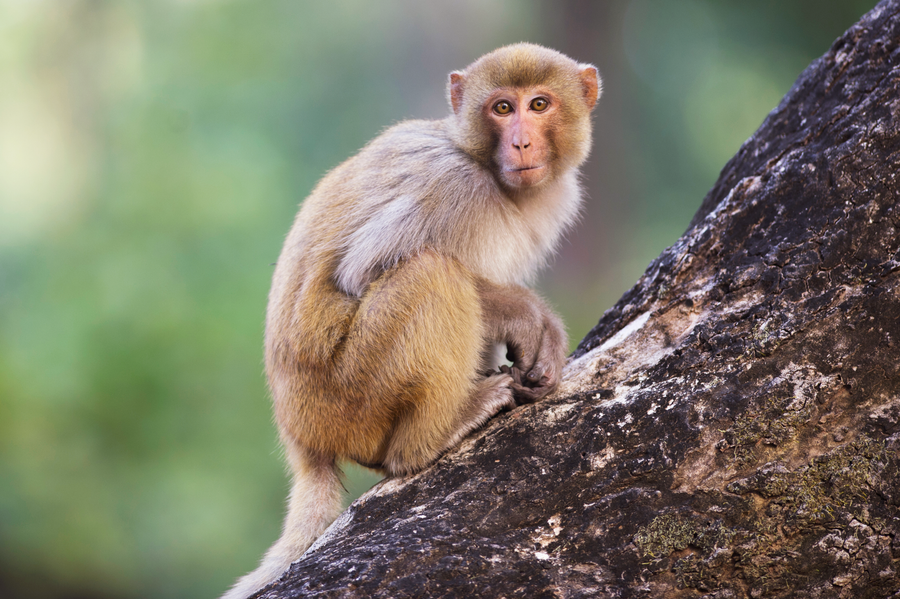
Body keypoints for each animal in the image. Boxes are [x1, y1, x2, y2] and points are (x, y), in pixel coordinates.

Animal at [221, 43, 600, 599]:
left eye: (539, 104)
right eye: (502, 108)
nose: (522, 141)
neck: (483, 167)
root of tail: (300, 437)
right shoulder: (453, 189)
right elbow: (365, 270)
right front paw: (531, 317)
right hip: (348, 397)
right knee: (432, 274)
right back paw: (429, 440)